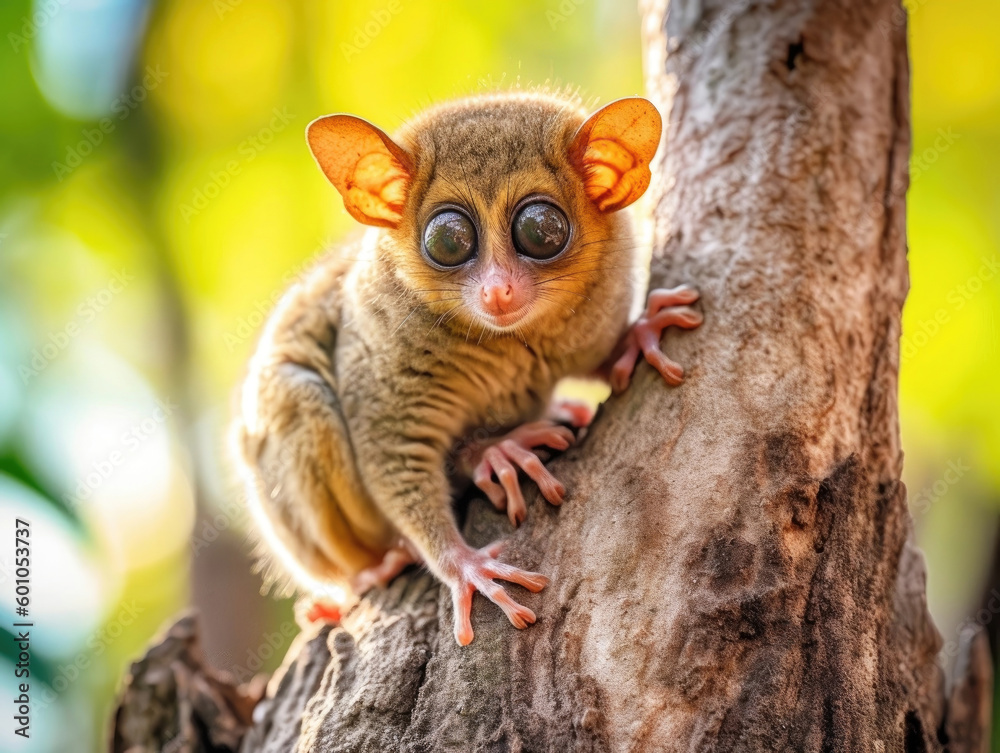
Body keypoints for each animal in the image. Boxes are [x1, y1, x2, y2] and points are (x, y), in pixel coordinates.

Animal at [232, 90, 702, 646]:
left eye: (542, 231)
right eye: (448, 241)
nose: (498, 291)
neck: (509, 341)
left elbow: (607, 359)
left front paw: (644, 332)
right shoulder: (380, 351)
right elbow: (390, 454)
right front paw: (466, 566)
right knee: (301, 399)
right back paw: (394, 552)